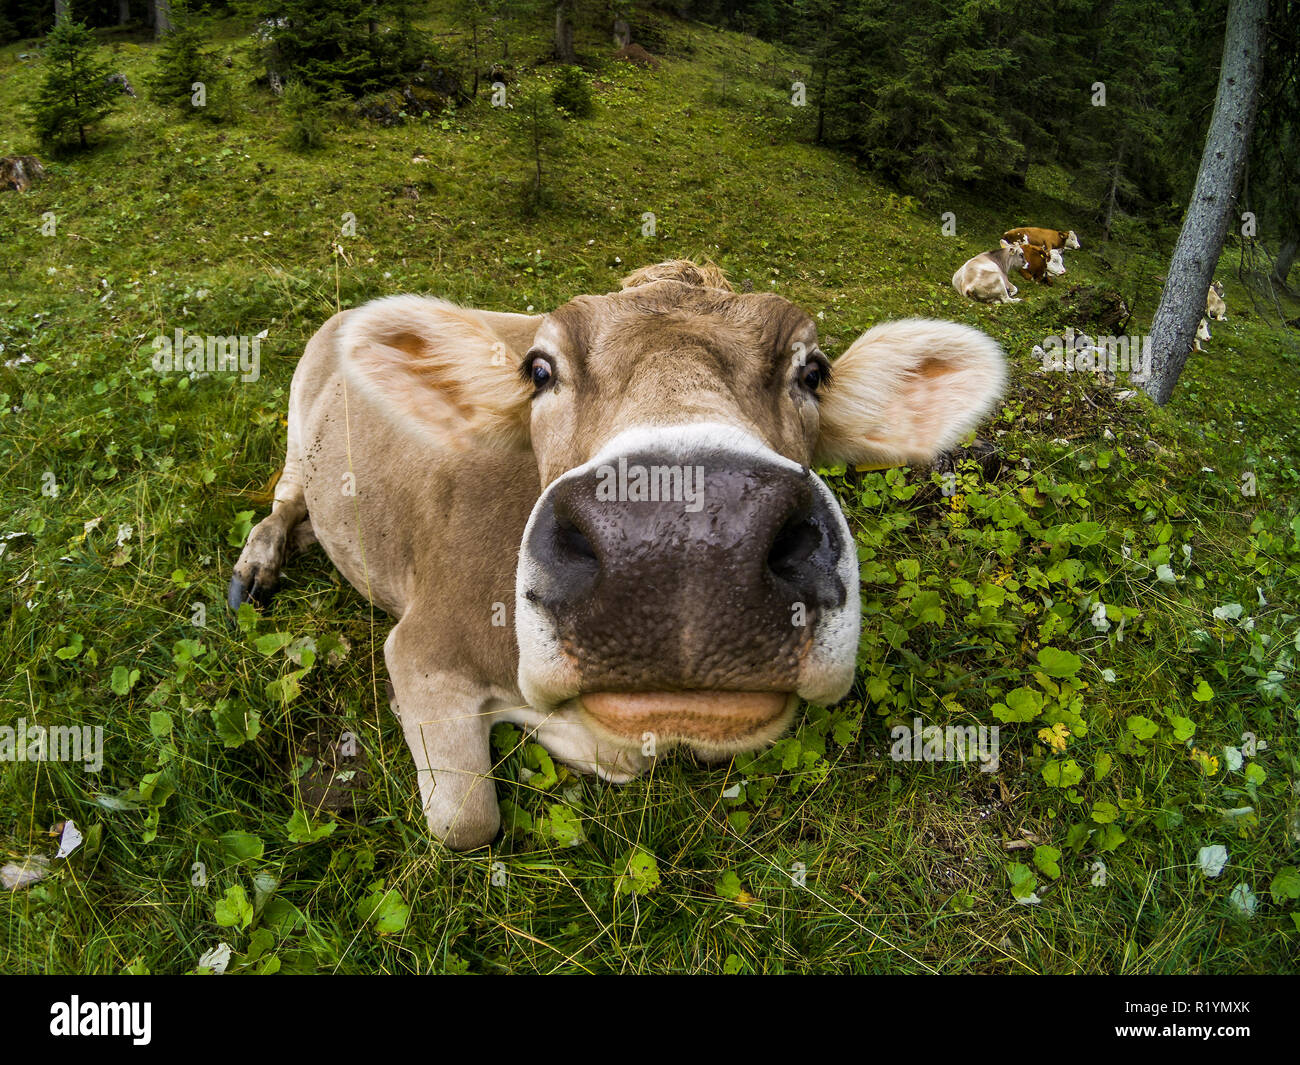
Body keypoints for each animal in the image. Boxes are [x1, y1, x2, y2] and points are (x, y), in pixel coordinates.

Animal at [229, 260, 1007, 850]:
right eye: (540, 370)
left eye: (812, 372)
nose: (688, 550)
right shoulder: (421, 647)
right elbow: (468, 823)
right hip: (300, 410)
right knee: (287, 490)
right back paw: (261, 562)